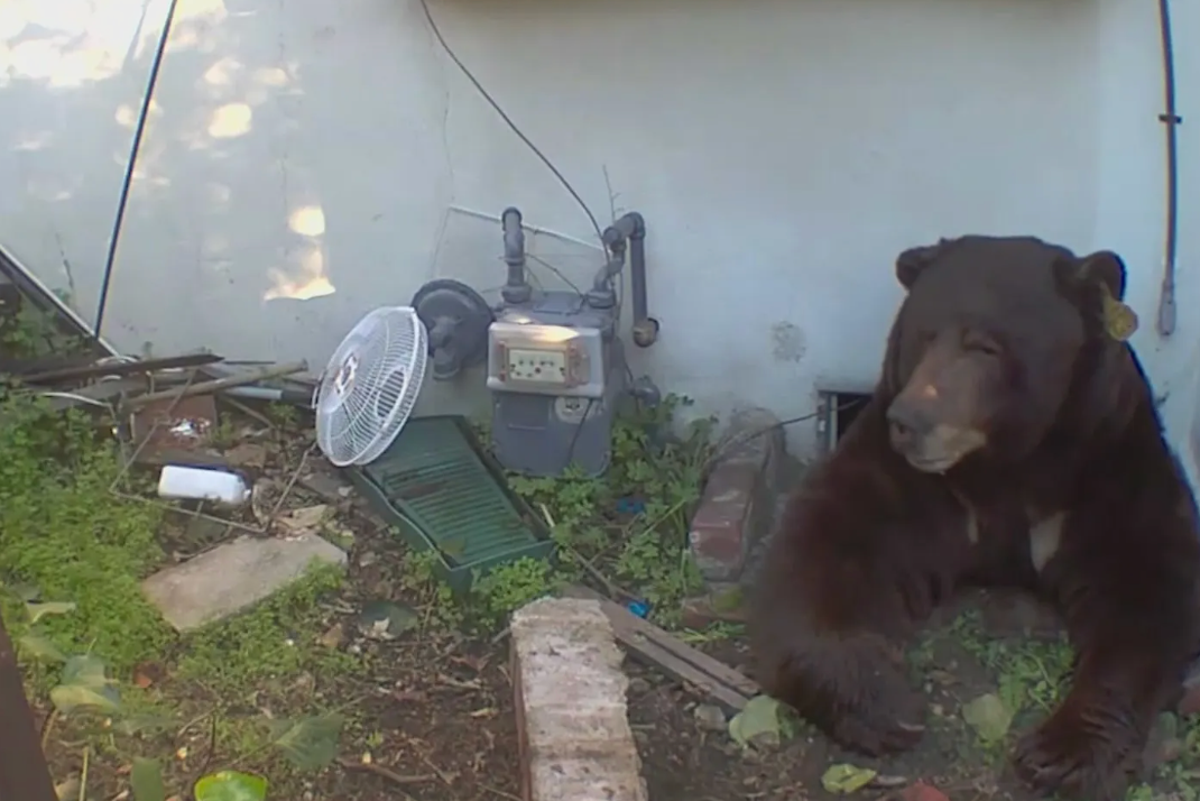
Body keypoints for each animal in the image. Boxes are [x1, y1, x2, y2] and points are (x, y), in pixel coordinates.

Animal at [749, 235, 1200, 801]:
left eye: (985, 347)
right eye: (923, 336)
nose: (910, 421)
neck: (1007, 466)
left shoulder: (1110, 465)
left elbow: (1147, 588)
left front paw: (1060, 753)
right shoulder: (907, 483)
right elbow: (824, 546)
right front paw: (885, 702)